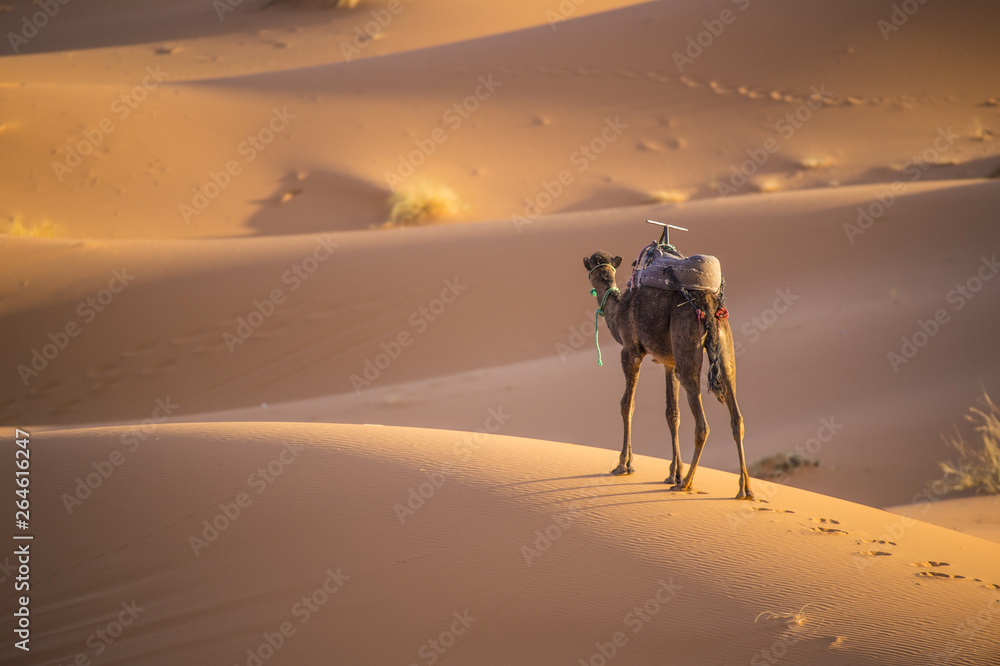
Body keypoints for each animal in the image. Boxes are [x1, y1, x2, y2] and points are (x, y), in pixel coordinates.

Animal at [582, 249, 753, 500]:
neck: (617, 311)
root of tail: (707, 307)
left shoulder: (631, 352)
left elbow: (627, 405)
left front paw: (624, 465)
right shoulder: (668, 362)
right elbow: (672, 414)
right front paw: (673, 472)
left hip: (687, 347)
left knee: (702, 425)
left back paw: (687, 484)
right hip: (724, 344)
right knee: (736, 415)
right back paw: (744, 488)